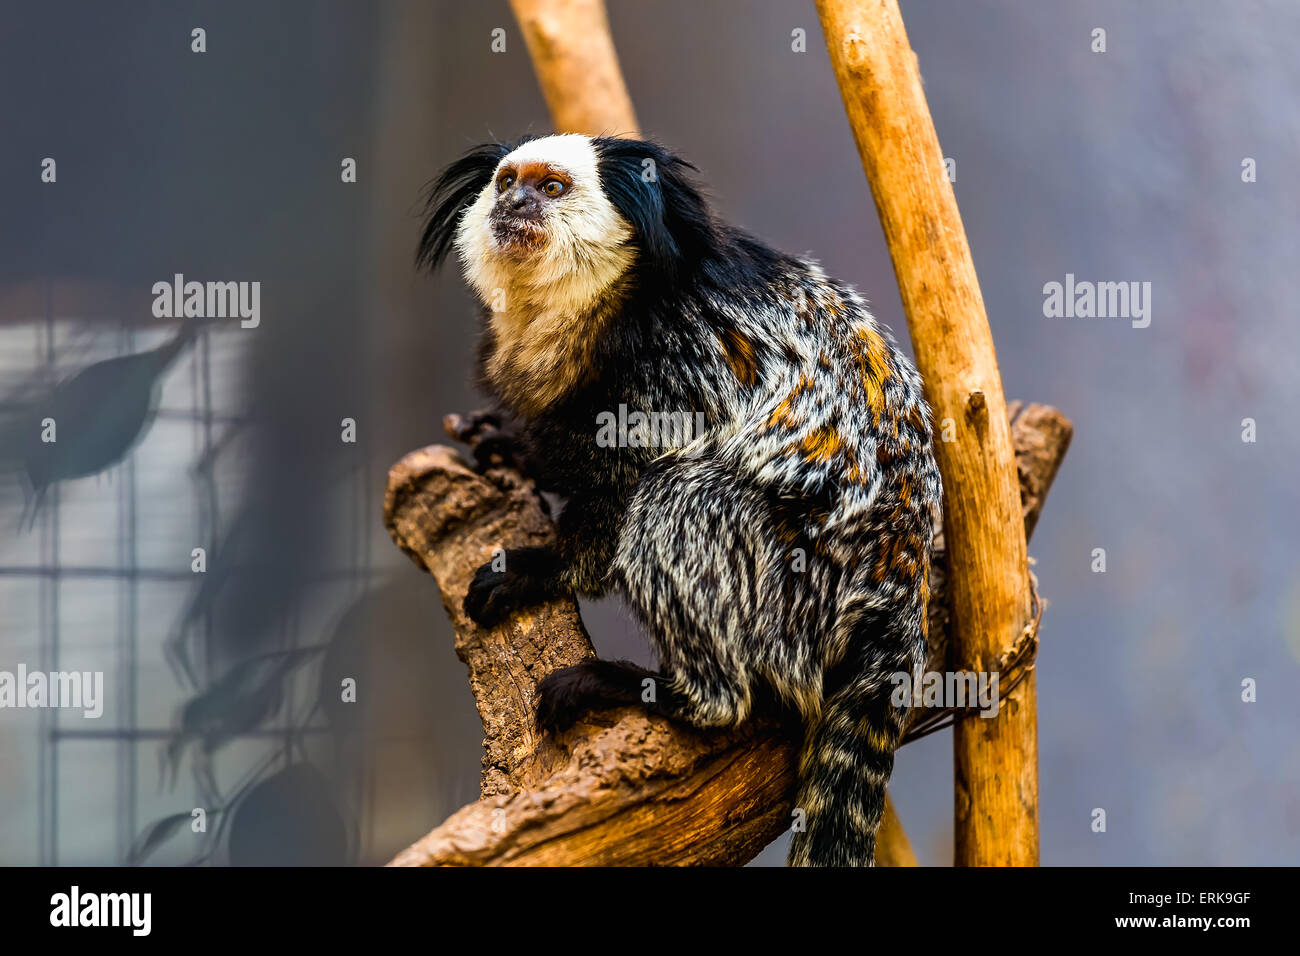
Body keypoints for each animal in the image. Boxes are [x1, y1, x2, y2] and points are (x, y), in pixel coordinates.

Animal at [417, 133, 941, 866]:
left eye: (551, 188)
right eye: (506, 182)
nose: (515, 203)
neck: (603, 304)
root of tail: (896, 590)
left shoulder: (675, 367)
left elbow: (627, 486)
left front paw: (541, 568)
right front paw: (512, 444)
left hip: (799, 589)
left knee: (677, 500)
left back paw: (668, 694)